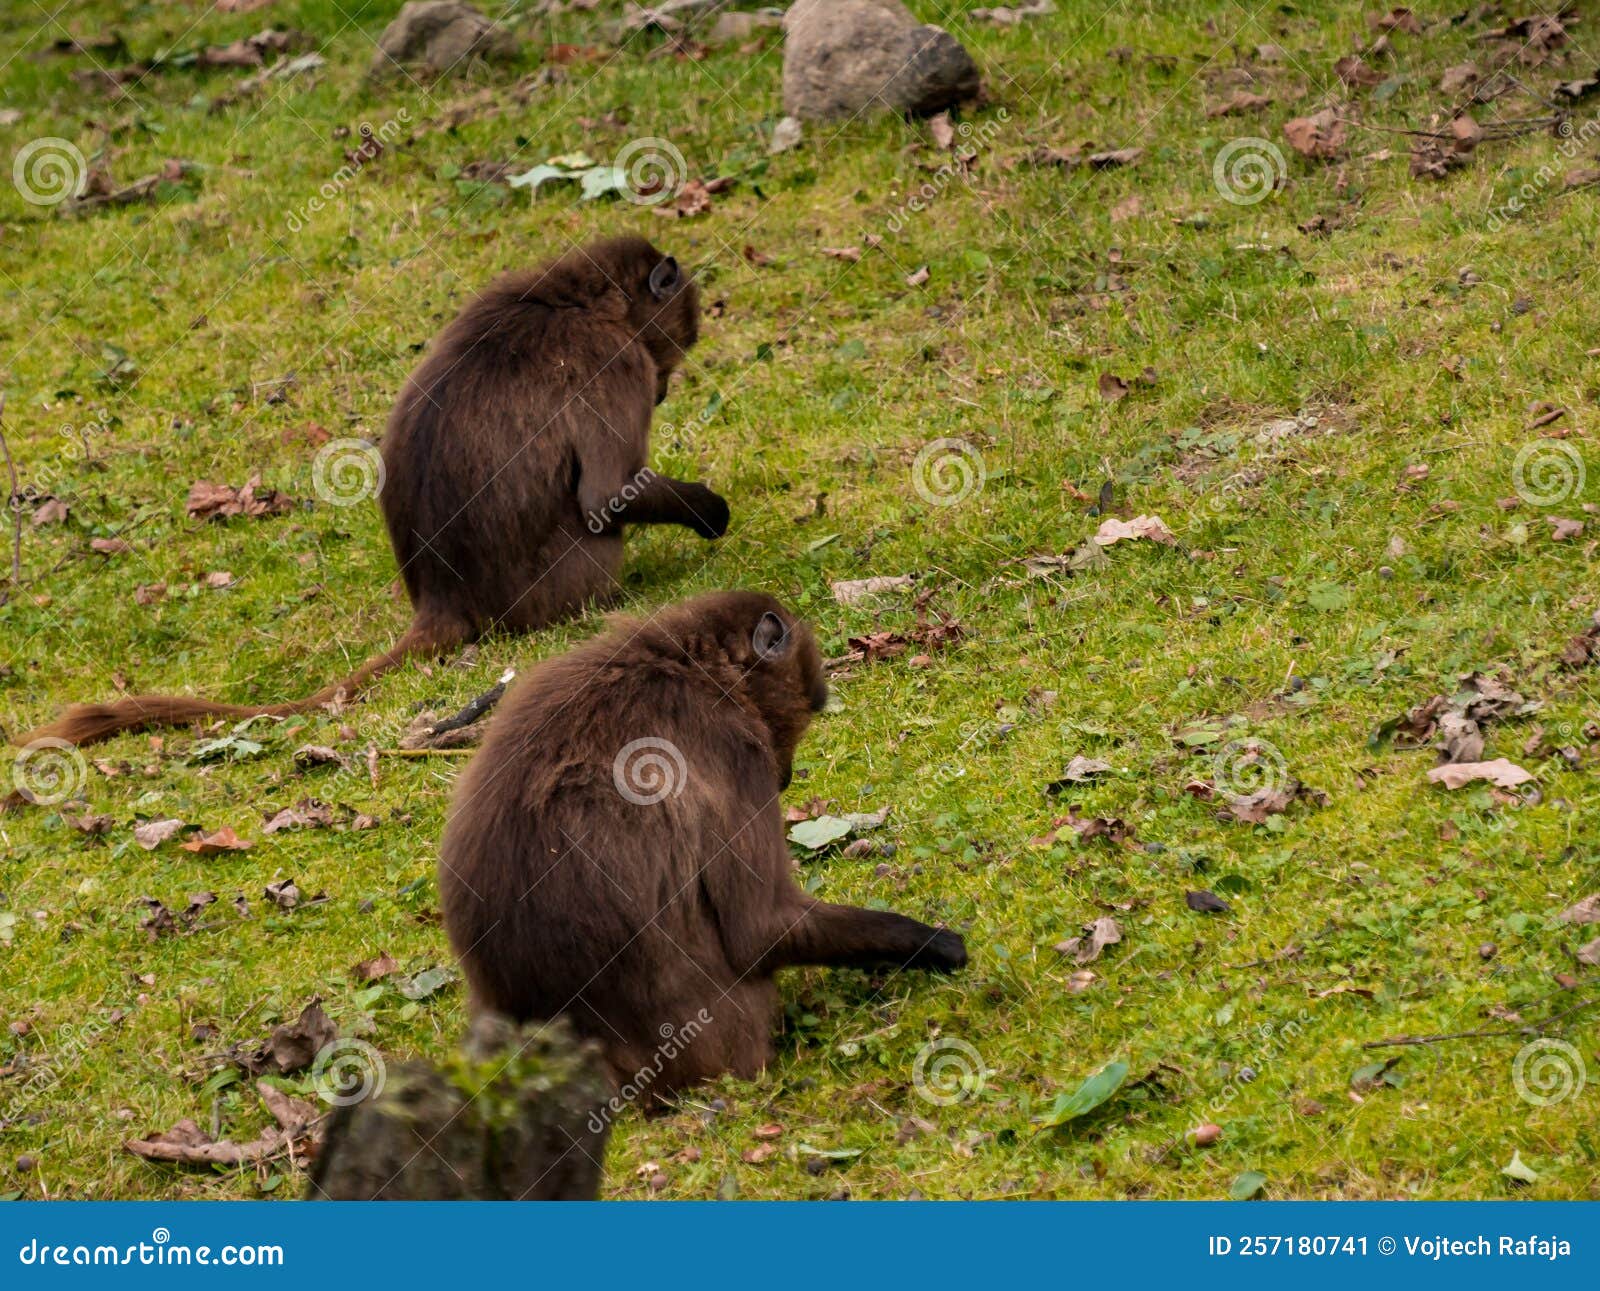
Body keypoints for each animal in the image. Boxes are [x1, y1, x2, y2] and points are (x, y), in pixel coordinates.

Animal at [21, 236, 727, 748]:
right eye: (679, 342)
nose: (664, 389)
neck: (583, 302)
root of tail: (442, 599)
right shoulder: (618, 362)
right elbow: (607, 496)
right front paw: (710, 511)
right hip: (565, 578)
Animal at [437, 590, 968, 1098]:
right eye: (809, 703)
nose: (785, 778)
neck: (698, 669)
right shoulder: (735, 751)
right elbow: (759, 929)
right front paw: (929, 944)